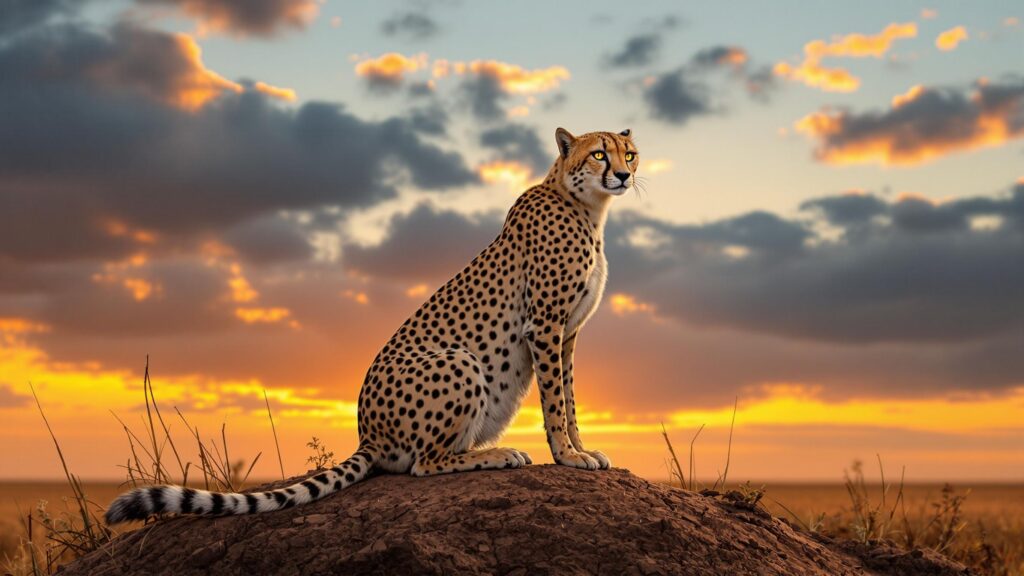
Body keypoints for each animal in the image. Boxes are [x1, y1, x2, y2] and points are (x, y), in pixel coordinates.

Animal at [105, 127, 640, 523]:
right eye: (599, 154)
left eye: (630, 153)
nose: (623, 175)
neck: (586, 206)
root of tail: (368, 433)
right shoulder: (545, 324)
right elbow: (554, 403)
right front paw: (566, 456)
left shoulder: (567, 333)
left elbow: (569, 396)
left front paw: (583, 449)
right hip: (458, 360)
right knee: (424, 463)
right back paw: (499, 454)